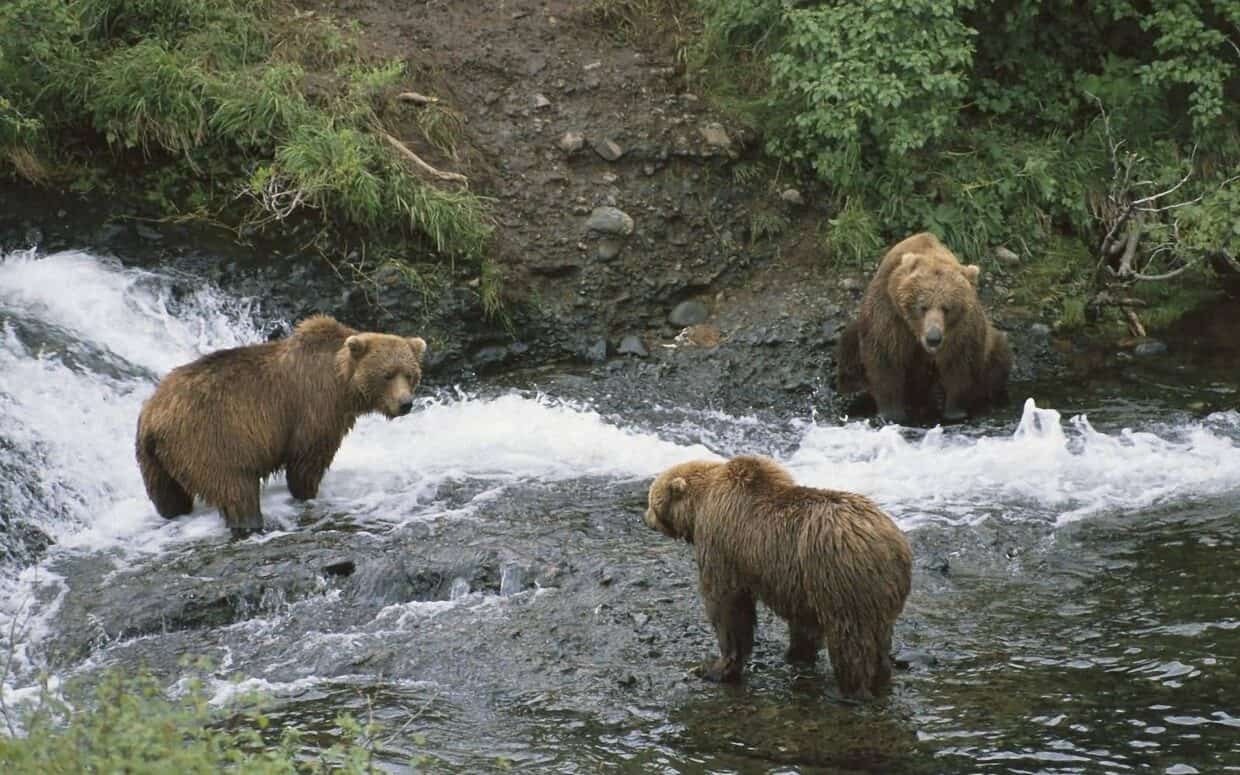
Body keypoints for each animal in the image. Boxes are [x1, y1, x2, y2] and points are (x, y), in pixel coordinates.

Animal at [135, 315, 426, 539]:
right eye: (387, 374)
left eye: (410, 374)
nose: (405, 404)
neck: (342, 384)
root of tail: (153, 416)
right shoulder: (314, 408)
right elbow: (307, 460)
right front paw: (308, 493)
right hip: (208, 439)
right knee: (235, 489)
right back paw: (250, 524)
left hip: (154, 460)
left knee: (168, 497)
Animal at [643, 455, 912, 700]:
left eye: (652, 500)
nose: (646, 519)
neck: (700, 505)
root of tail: (890, 543)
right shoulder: (800, 581)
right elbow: (804, 622)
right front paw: (797, 653)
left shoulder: (722, 544)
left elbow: (727, 606)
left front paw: (715, 667)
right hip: (877, 590)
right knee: (880, 636)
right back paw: (880, 679)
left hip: (840, 578)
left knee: (851, 640)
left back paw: (851, 690)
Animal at [836, 232, 1010, 423]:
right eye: (923, 306)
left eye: (947, 308)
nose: (933, 338)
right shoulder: (889, 314)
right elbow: (886, 357)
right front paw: (892, 413)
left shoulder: (961, 329)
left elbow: (960, 361)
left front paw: (955, 412)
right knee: (850, 346)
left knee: (997, 358)